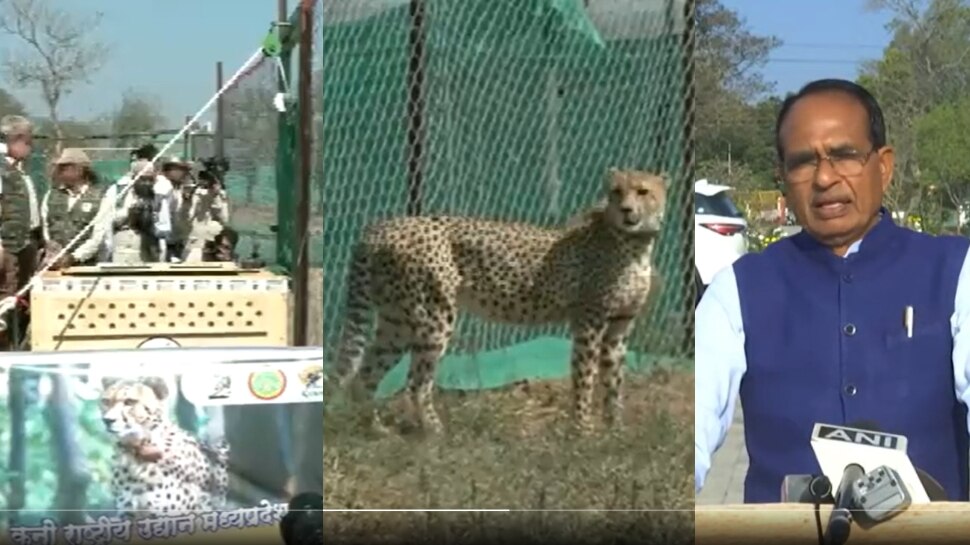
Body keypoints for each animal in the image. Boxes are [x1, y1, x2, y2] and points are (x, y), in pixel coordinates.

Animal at [333, 167, 668, 435]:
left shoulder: (619, 328)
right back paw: (436, 434)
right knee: (416, 383)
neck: (634, 244)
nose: (626, 210)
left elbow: (614, 382)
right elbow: (585, 378)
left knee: (364, 378)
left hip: (397, 321)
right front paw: (582, 431)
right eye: (616, 192)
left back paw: (375, 430)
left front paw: (616, 430)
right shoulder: (589, 324)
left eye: (642, 191)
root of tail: (381, 227)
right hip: (433, 318)